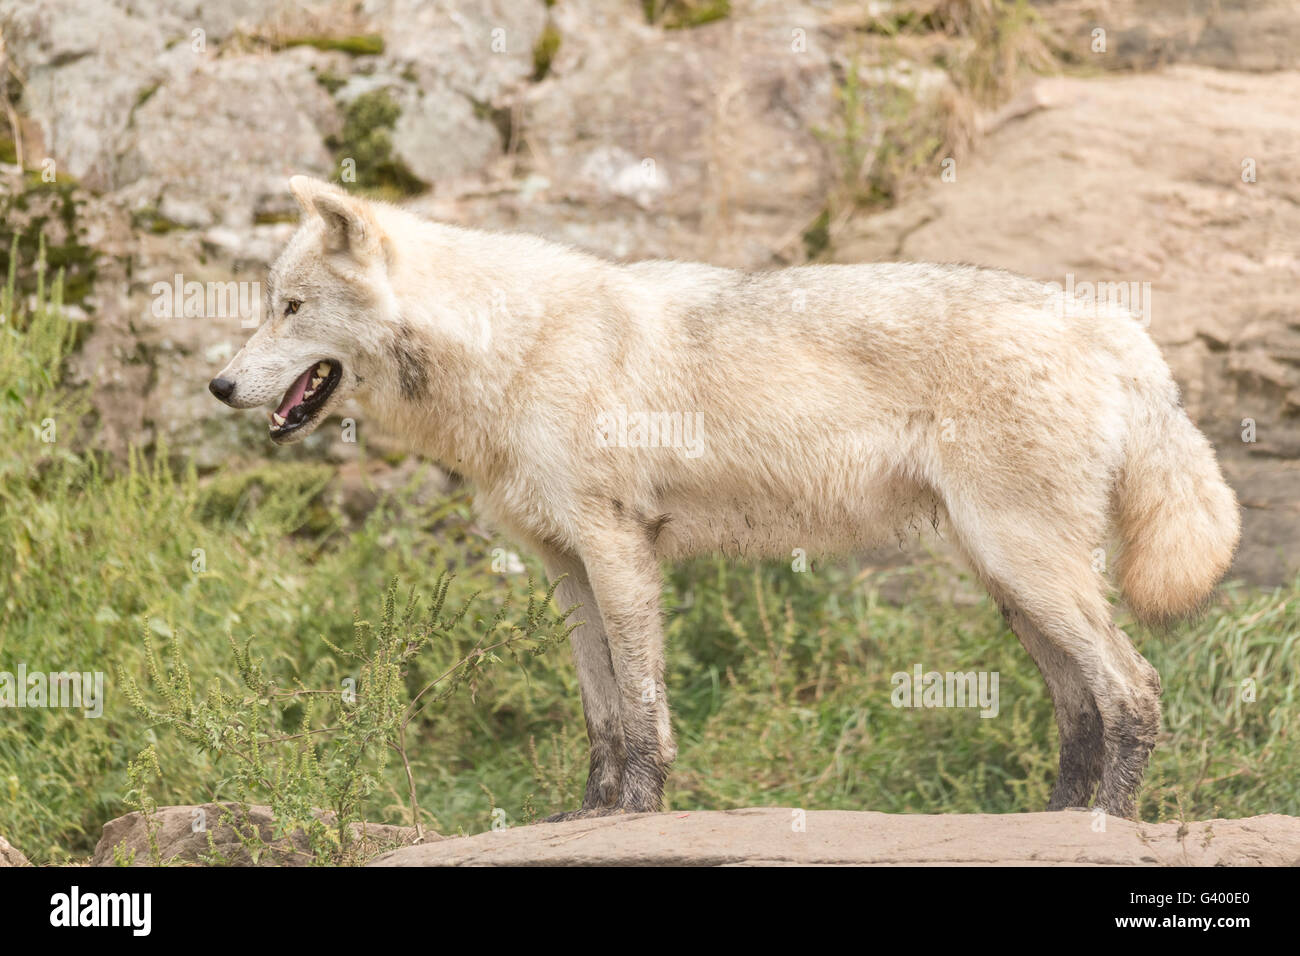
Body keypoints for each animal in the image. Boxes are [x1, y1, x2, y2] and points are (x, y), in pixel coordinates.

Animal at [210, 175, 1240, 820]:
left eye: (290, 309)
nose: (219, 386)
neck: (515, 351)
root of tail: (1113, 326)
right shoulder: (567, 570)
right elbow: (602, 712)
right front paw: (584, 815)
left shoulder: (618, 552)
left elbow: (641, 710)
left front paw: (635, 811)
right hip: (1011, 583)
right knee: (1082, 709)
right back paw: (1052, 824)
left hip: (1027, 568)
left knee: (1133, 691)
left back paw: (1108, 824)